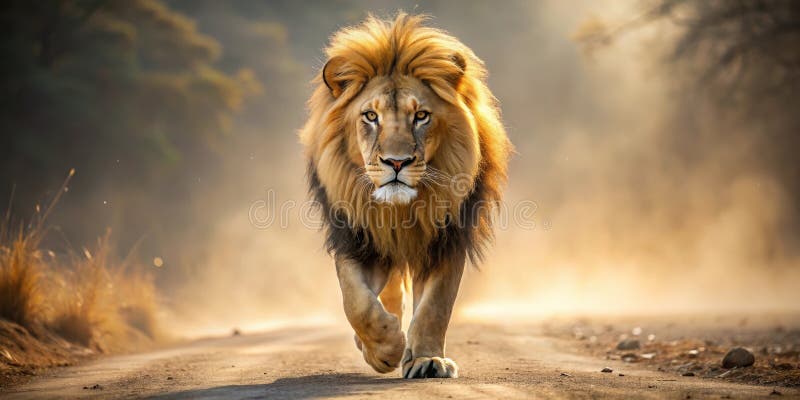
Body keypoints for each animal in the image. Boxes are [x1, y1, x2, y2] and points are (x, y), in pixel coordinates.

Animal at [300, 13, 511, 378]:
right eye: (371, 116)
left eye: (421, 116)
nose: (396, 162)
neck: (399, 211)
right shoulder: (356, 236)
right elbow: (357, 302)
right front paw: (386, 348)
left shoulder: (446, 237)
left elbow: (435, 306)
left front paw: (427, 360)